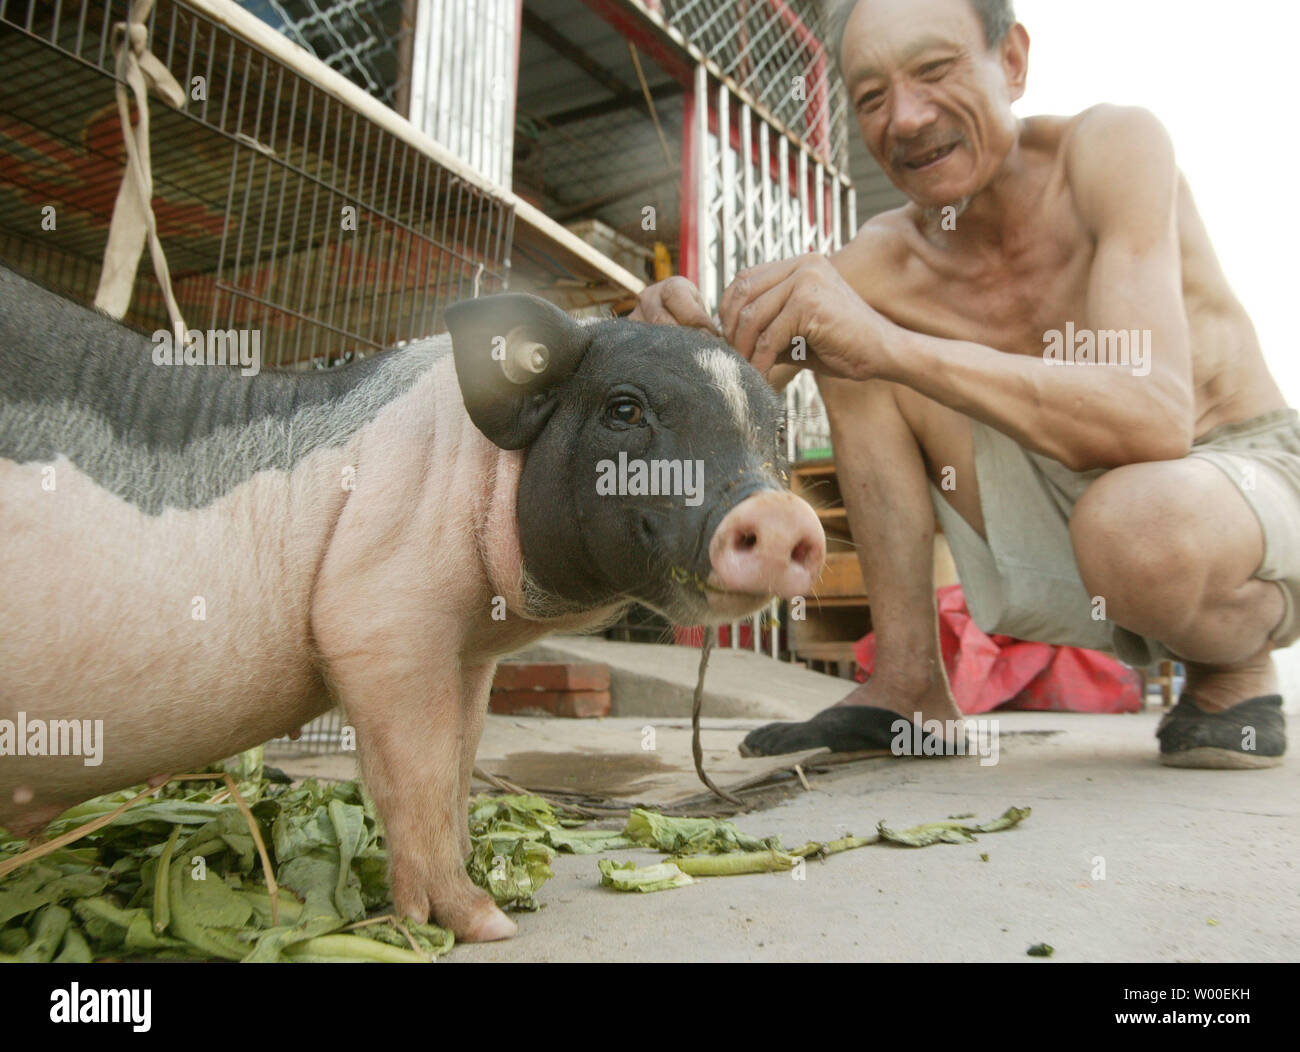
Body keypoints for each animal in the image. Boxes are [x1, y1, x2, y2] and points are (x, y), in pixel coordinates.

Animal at [0, 263, 825, 941]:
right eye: (624, 410)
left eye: (776, 431)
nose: (784, 515)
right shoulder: (379, 612)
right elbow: (420, 771)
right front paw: (483, 925)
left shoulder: (467, 655)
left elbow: (461, 758)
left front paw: (490, 873)